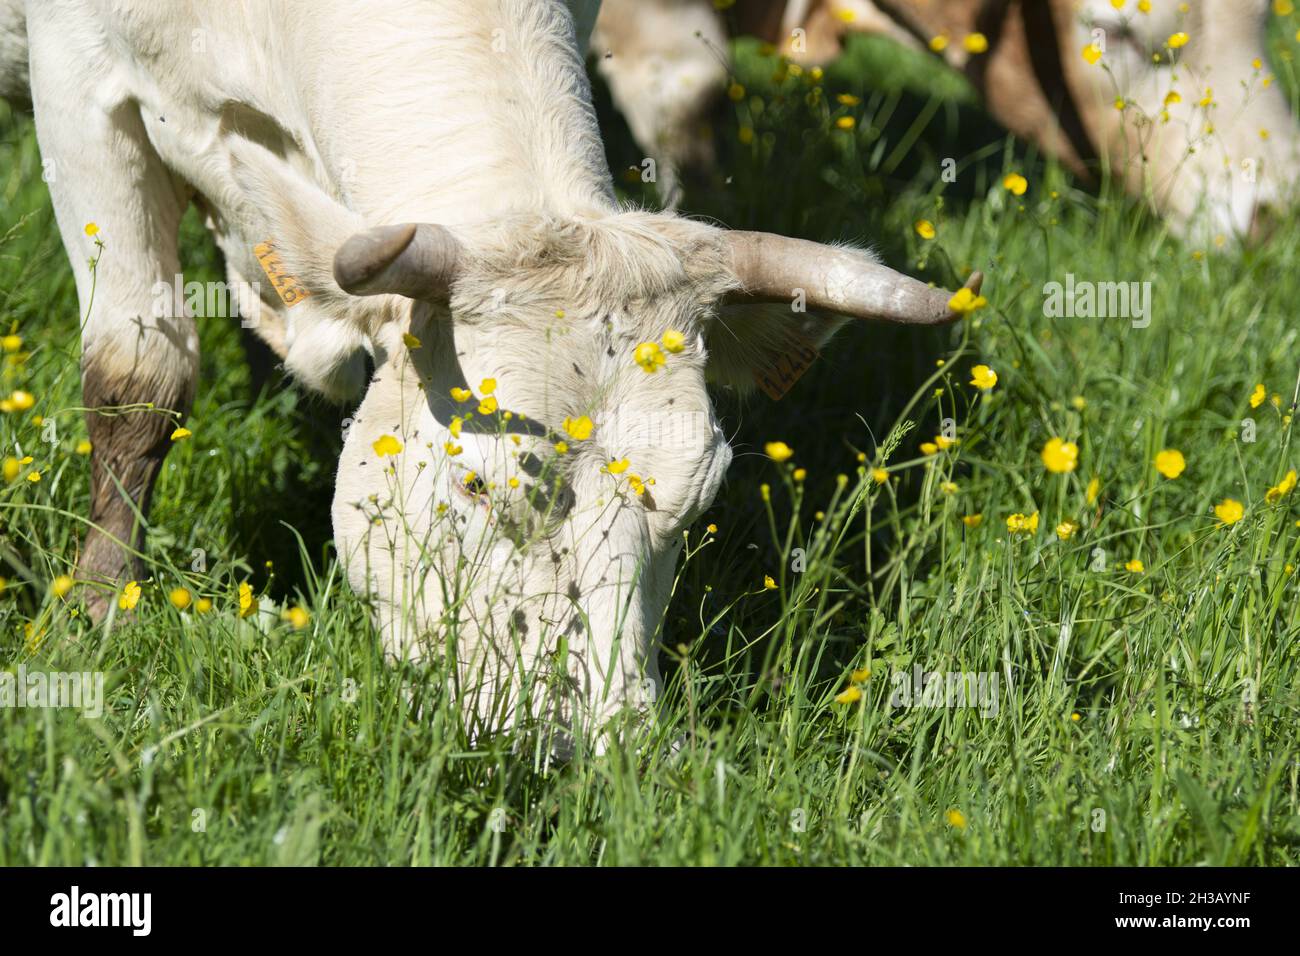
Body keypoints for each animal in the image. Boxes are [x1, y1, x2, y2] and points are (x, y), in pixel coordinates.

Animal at [0, 0, 978, 749]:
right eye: (473, 484)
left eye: (698, 502)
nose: (593, 747)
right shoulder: (79, 79)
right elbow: (139, 374)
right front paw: (98, 616)